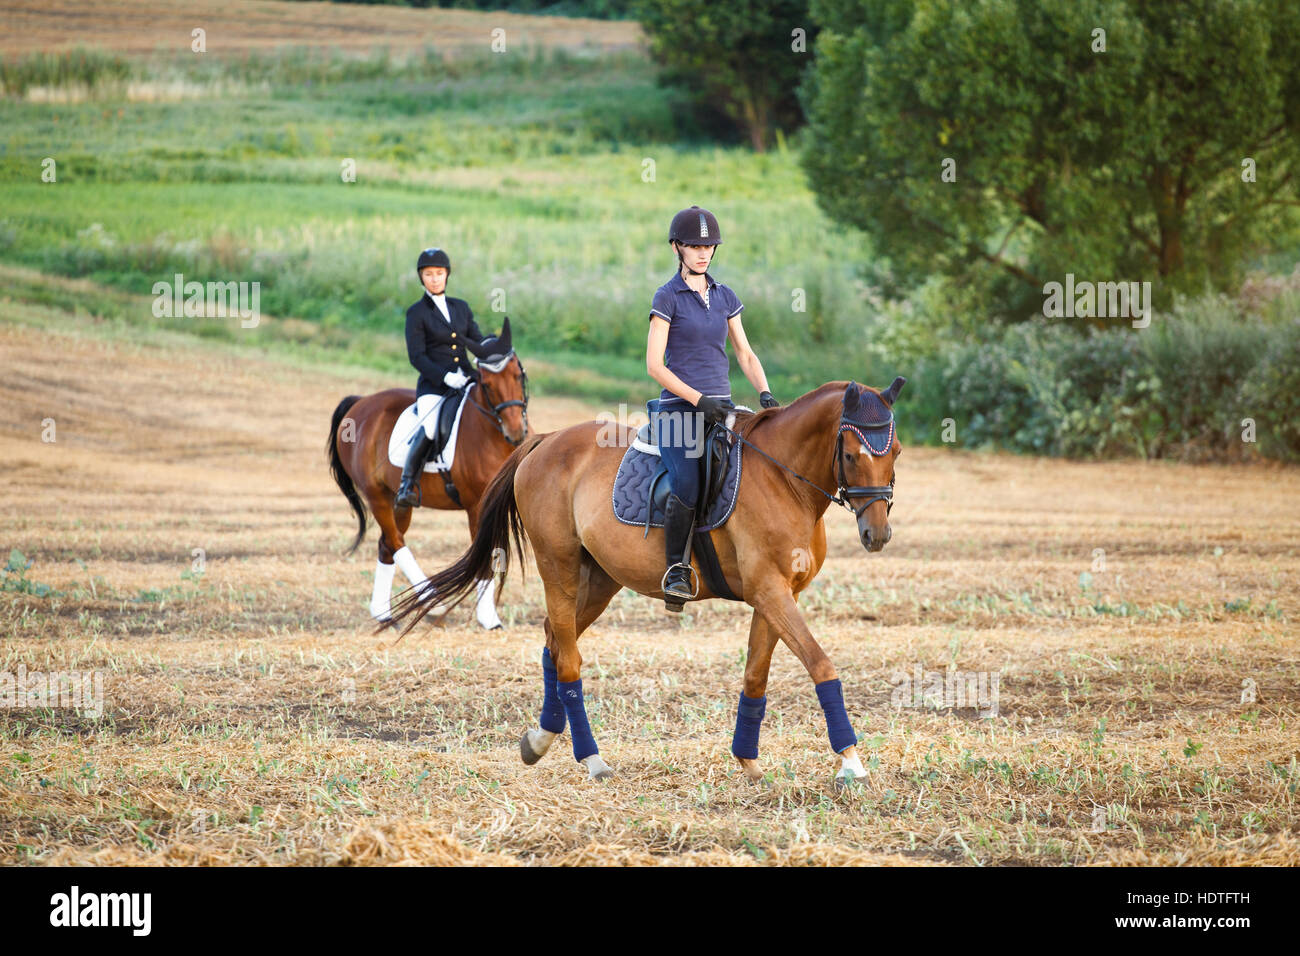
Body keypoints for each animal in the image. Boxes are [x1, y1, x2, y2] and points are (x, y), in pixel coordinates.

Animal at [327, 318, 530, 630]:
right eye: (487, 384)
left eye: (518, 375)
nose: (515, 432)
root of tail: (361, 402)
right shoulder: (477, 506)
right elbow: (486, 555)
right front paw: (488, 618)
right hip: (376, 495)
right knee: (396, 542)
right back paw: (433, 602)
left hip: (399, 500)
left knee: (386, 544)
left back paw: (384, 613)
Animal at [385, 377, 906, 787]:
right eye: (853, 454)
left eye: (895, 452)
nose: (877, 534)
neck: (785, 478)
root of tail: (545, 441)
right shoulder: (770, 592)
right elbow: (822, 665)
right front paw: (851, 763)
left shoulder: (777, 595)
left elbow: (756, 675)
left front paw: (749, 762)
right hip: (560, 567)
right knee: (568, 656)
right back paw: (592, 759)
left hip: (600, 580)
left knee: (556, 640)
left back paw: (540, 740)